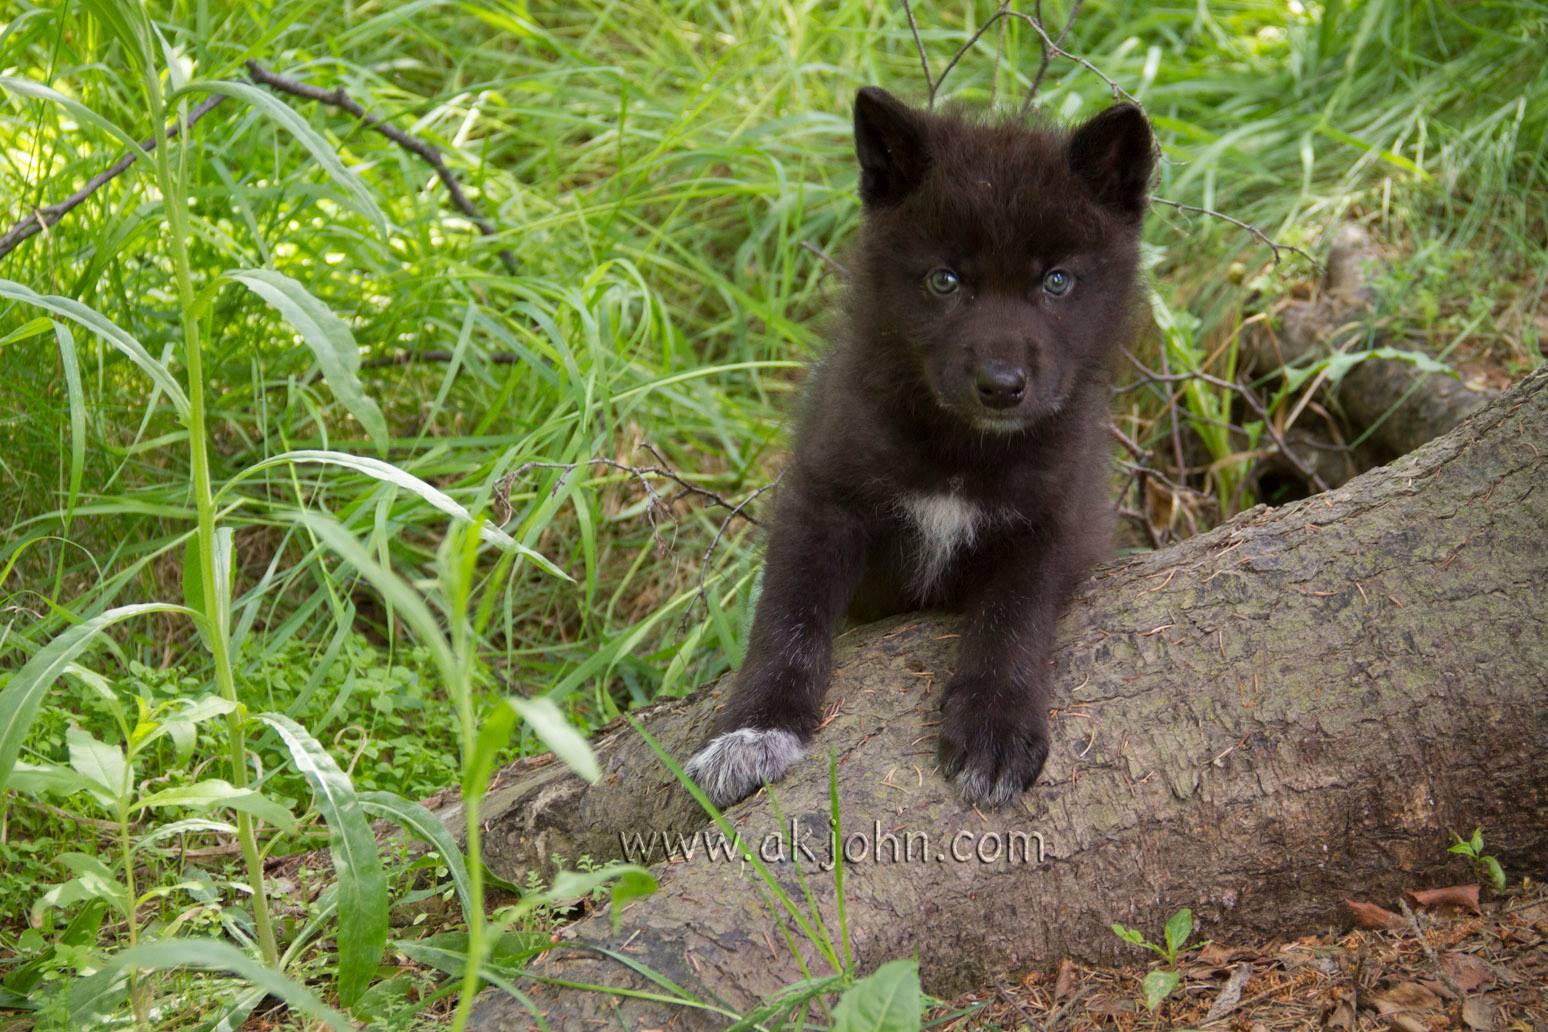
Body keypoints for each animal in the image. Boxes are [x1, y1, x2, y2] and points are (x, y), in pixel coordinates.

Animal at [686, 86, 1153, 808]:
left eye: (1056, 281)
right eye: (944, 281)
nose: (1001, 386)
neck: (962, 452)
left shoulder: (1052, 518)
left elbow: (1012, 619)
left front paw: (993, 728)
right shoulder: (823, 495)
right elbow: (787, 617)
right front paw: (754, 731)